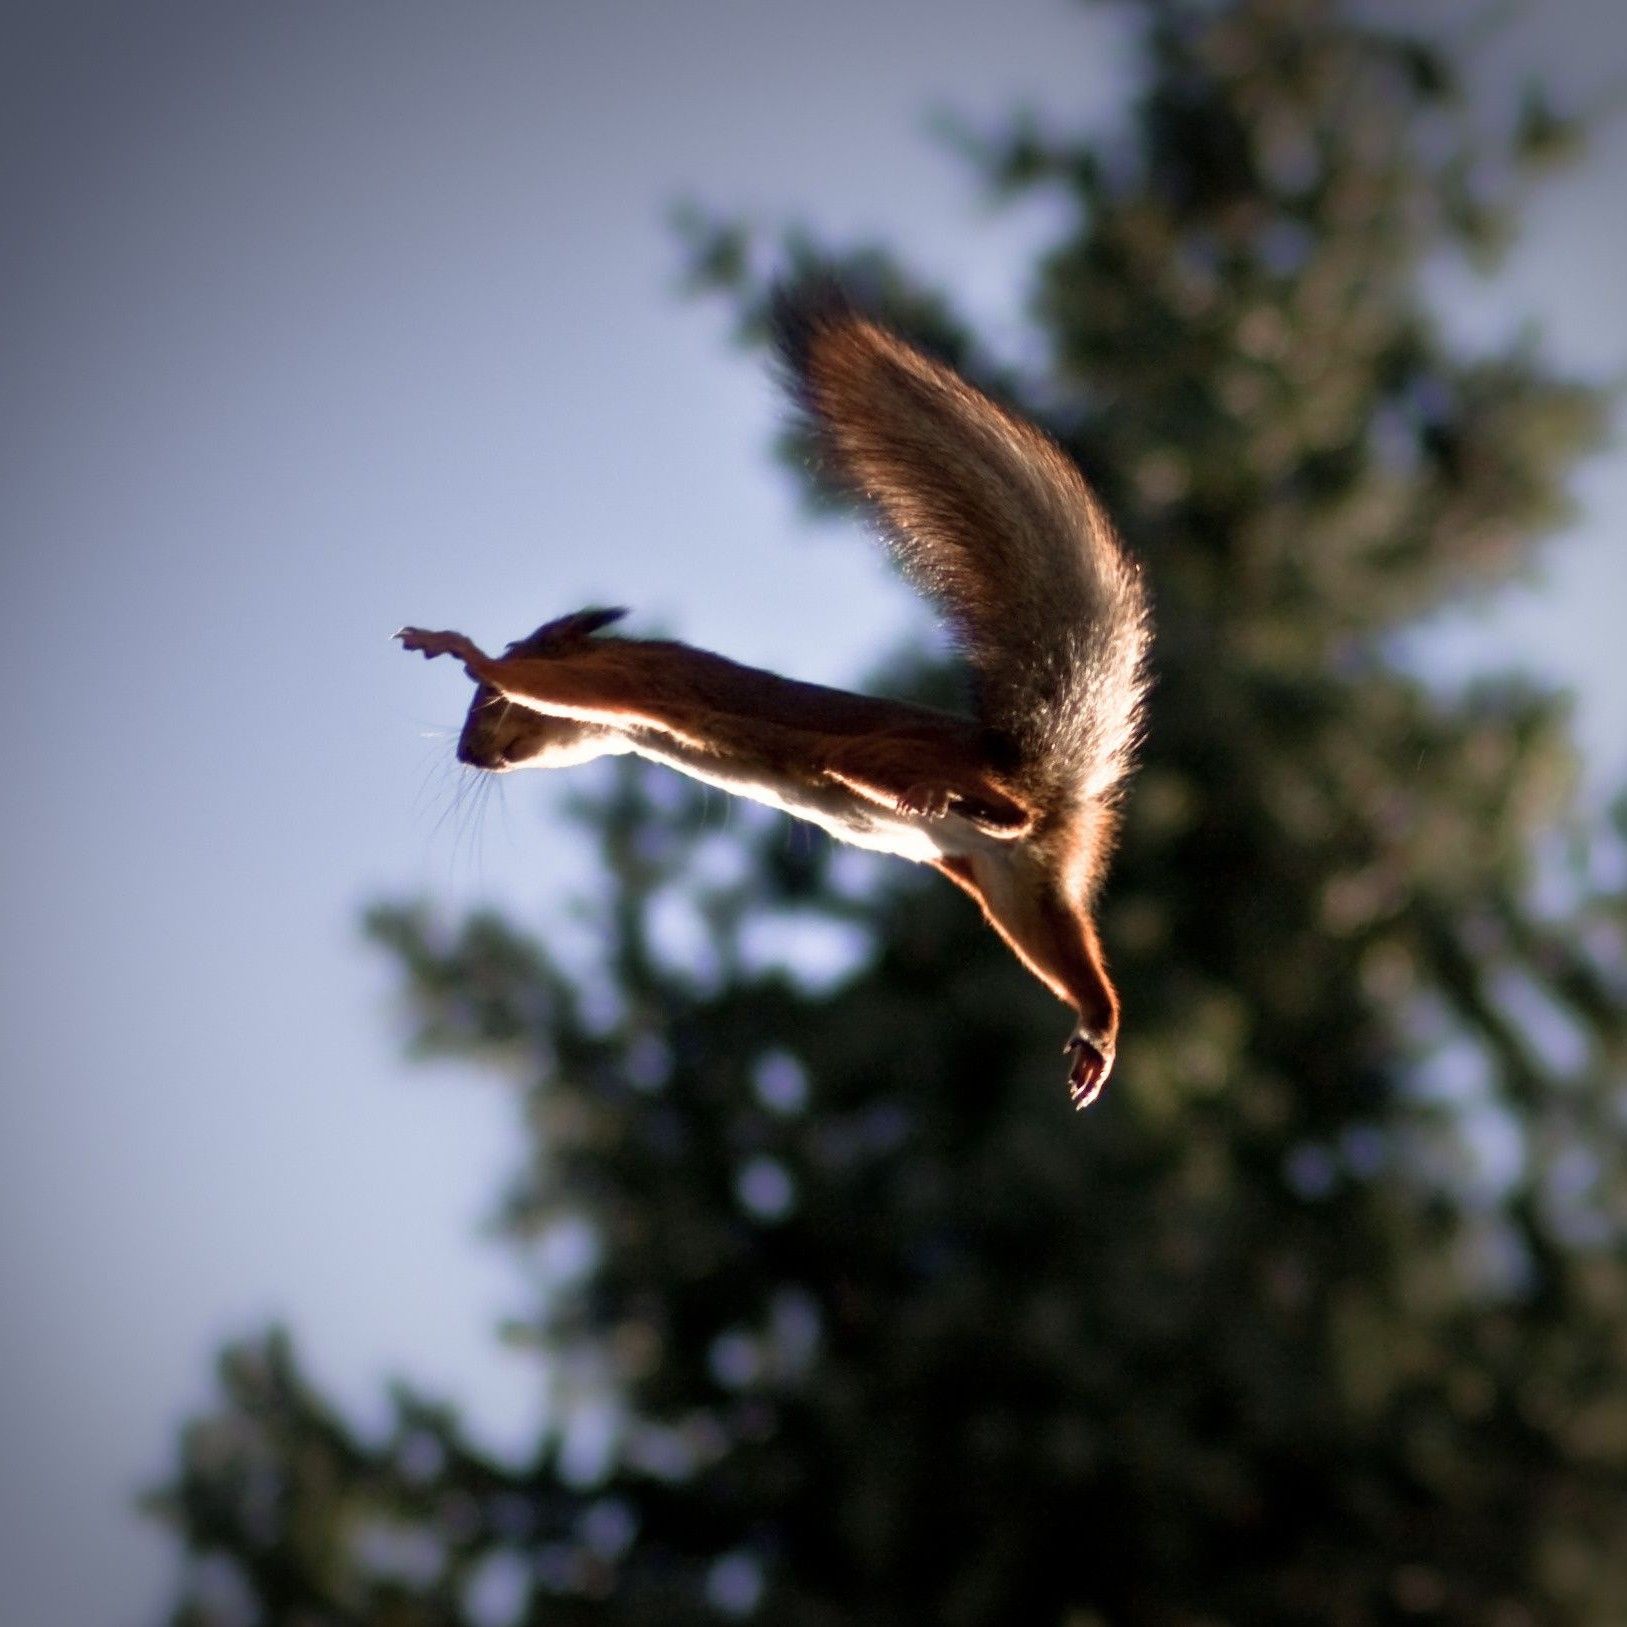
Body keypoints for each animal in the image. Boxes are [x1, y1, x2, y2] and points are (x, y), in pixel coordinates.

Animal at [398, 287, 1150, 1106]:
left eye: (485, 706)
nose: (468, 754)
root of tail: (1040, 776)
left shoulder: (627, 681)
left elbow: (551, 682)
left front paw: (457, 648)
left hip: (883, 760)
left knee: (967, 797)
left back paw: (959, 803)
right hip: (1016, 894)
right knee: (1072, 951)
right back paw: (1098, 1030)